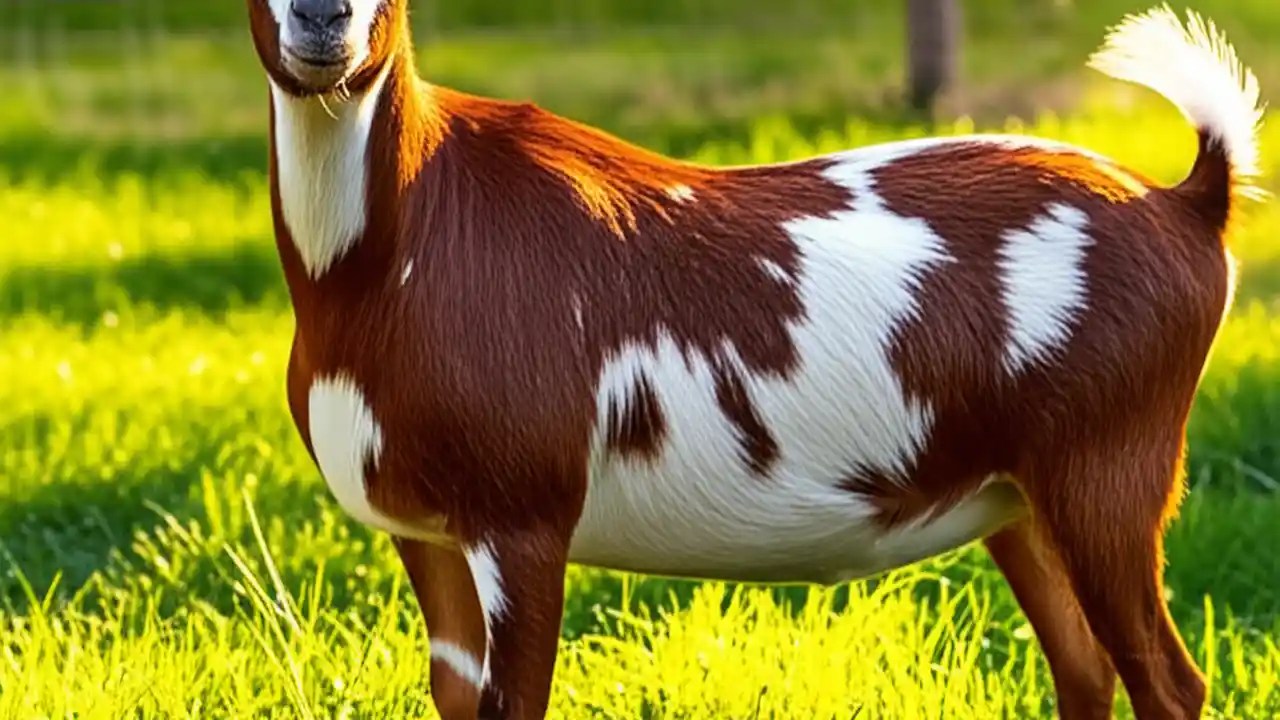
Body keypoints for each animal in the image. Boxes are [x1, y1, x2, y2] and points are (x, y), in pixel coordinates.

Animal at [246, 1, 1265, 718]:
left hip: (1110, 466)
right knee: (1086, 670)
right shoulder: (426, 531)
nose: (324, 18)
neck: (395, 253)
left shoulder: (524, 516)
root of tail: (1186, 202)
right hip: (1021, 497)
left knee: (1167, 682)